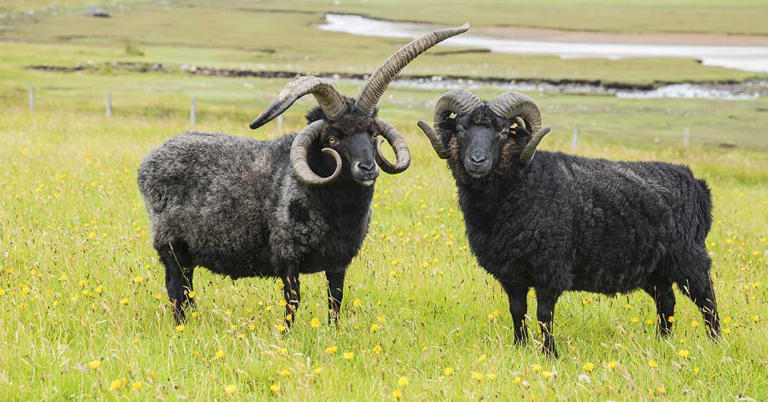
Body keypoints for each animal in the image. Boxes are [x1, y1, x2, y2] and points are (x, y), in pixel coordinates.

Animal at [137, 24, 470, 325]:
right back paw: (182, 326)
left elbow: (335, 301)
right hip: (171, 248)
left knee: (186, 291)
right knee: (176, 291)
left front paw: (333, 334)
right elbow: (292, 302)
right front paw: (287, 336)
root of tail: (149, 161)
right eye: (333, 138)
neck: (334, 206)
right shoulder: (288, 257)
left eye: (372, 133)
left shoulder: (338, 261)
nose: (367, 168)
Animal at [417, 89, 720, 357]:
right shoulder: (511, 274)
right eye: (461, 129)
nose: (477, 161)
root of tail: (696, 182)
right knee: (666, 302)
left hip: (689, 258)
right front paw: (519, 348)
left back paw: (715, 343)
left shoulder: (550, 269)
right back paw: (662, 342)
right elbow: (517, 312)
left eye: (504, 132)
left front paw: (549, 354)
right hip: (655, 268)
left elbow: (543, 315)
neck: (522, 184)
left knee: (707, 301)